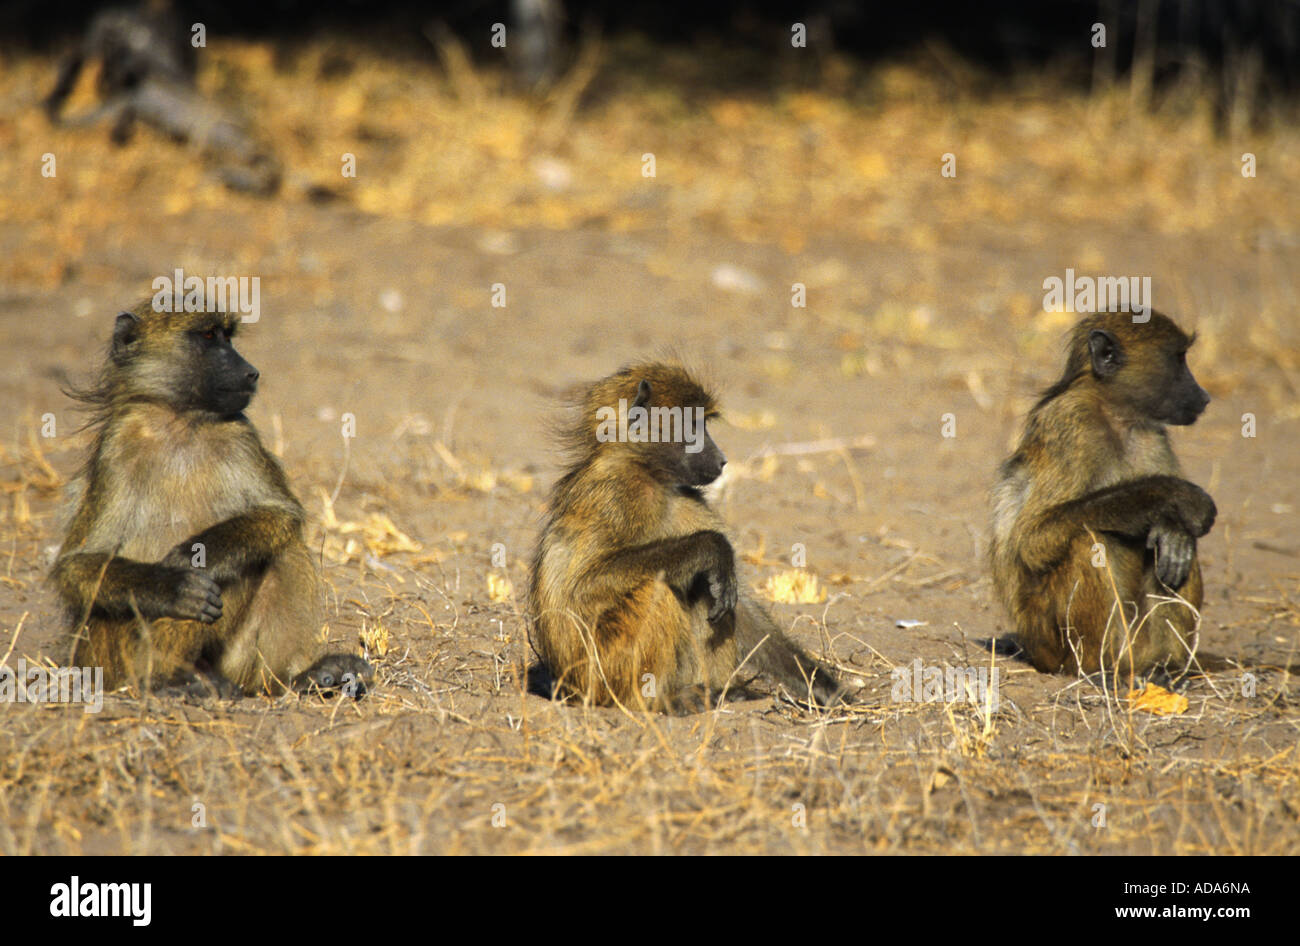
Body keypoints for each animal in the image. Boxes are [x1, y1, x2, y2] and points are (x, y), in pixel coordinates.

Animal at [51, 299, 372, 698]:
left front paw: (196, 555)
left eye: (227, 337)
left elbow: (279, 514)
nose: (250, 373)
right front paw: (175, 585)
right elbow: (76, 566)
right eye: (207, 336)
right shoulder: (117, 447)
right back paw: (173, 680)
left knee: (277, 553)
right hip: (108, 658)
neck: (181, 422)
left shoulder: (240, 434)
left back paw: (293, 679)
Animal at [527, 361, 846, 714]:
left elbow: (737, 601)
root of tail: (568, 688)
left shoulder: (687, 497)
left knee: (704, 588)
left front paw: (822, 685)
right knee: (657, 589)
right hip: (601, 677)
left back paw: (721, 692)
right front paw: (711, 547)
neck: (648, 472)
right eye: (693, 426)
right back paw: (659, 701)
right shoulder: (615, 494)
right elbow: (584, 584)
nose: (722, 460)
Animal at [990, 311, 1217, 679]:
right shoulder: (1070, 423)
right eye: (1179, 358)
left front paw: (1173, 528)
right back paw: (1101, 668)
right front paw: (1176, 499)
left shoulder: (1152, 435)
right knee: (1086, 540)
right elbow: (1033, 539)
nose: (1205, 396)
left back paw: (1166, 668)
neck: (1113, 413)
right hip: (1049, 643)